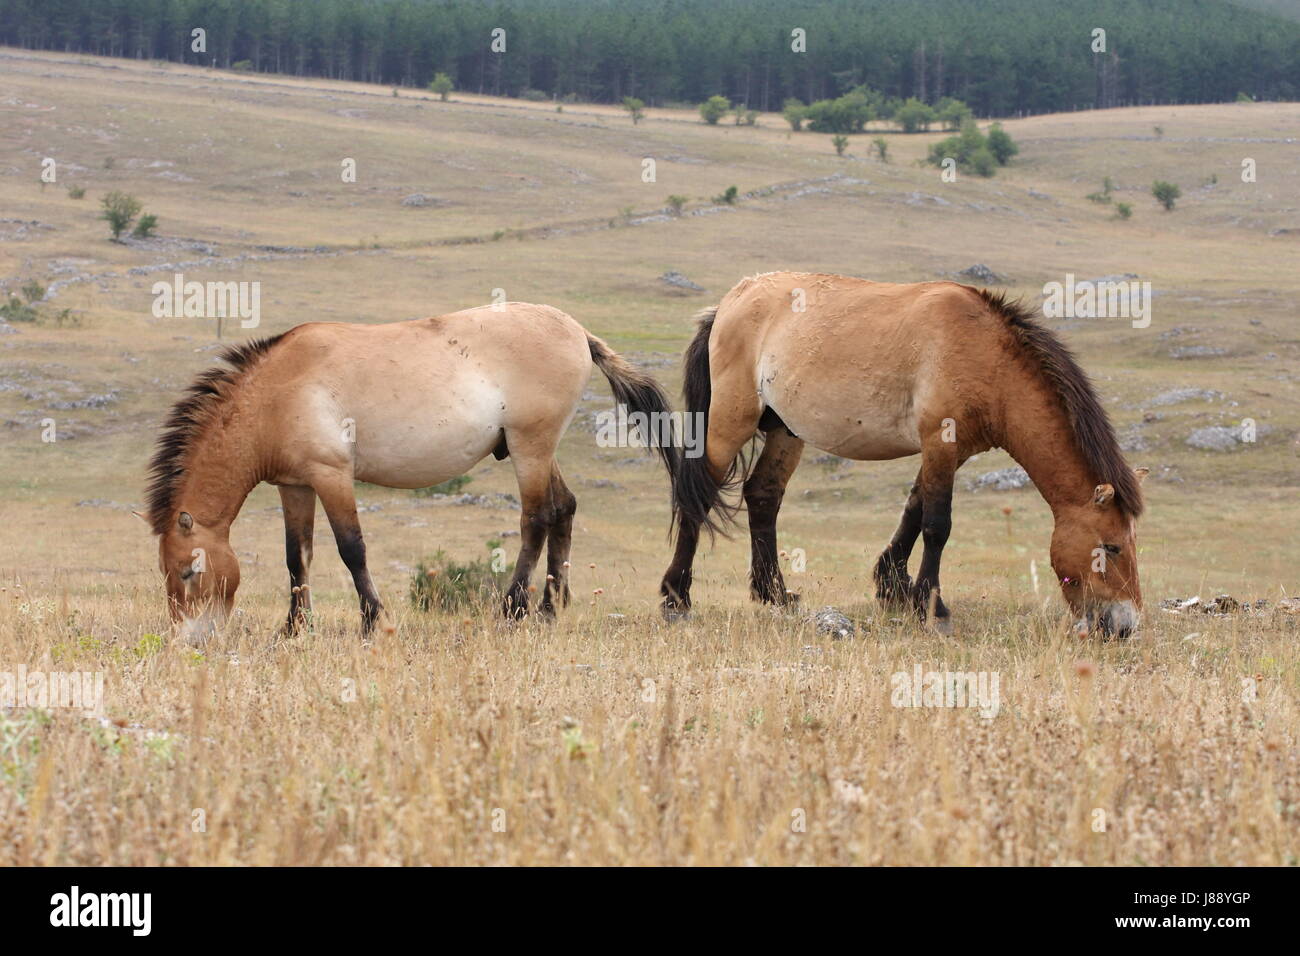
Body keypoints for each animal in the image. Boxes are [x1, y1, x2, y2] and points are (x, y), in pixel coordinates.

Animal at [144, 303, 676, 643]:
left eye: (190, 572)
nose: (190, 639)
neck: (279, 390)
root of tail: (576, 331)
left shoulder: (332, 476)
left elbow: (351, 550)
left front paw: (372, 622)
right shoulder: (295, 486)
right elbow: (298, 558)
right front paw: (295, 628)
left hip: (531, 448)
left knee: (536, 519)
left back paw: (513, 611)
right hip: (537, 451)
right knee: (564, 508)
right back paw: (548, 609)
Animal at [660, 271, 1148, 637]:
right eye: (1111, 547)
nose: (1124, 626)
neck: (985, 355)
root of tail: (728, 304)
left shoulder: (951, 451)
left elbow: (914, 509)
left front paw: (894, 588)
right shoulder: (940, 442)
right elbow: (936, 525)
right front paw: (933, 608)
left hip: (784, 430)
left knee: (763, 496)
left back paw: (775, 594)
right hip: (731, 421)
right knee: (699, 496)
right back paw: (676, 597)